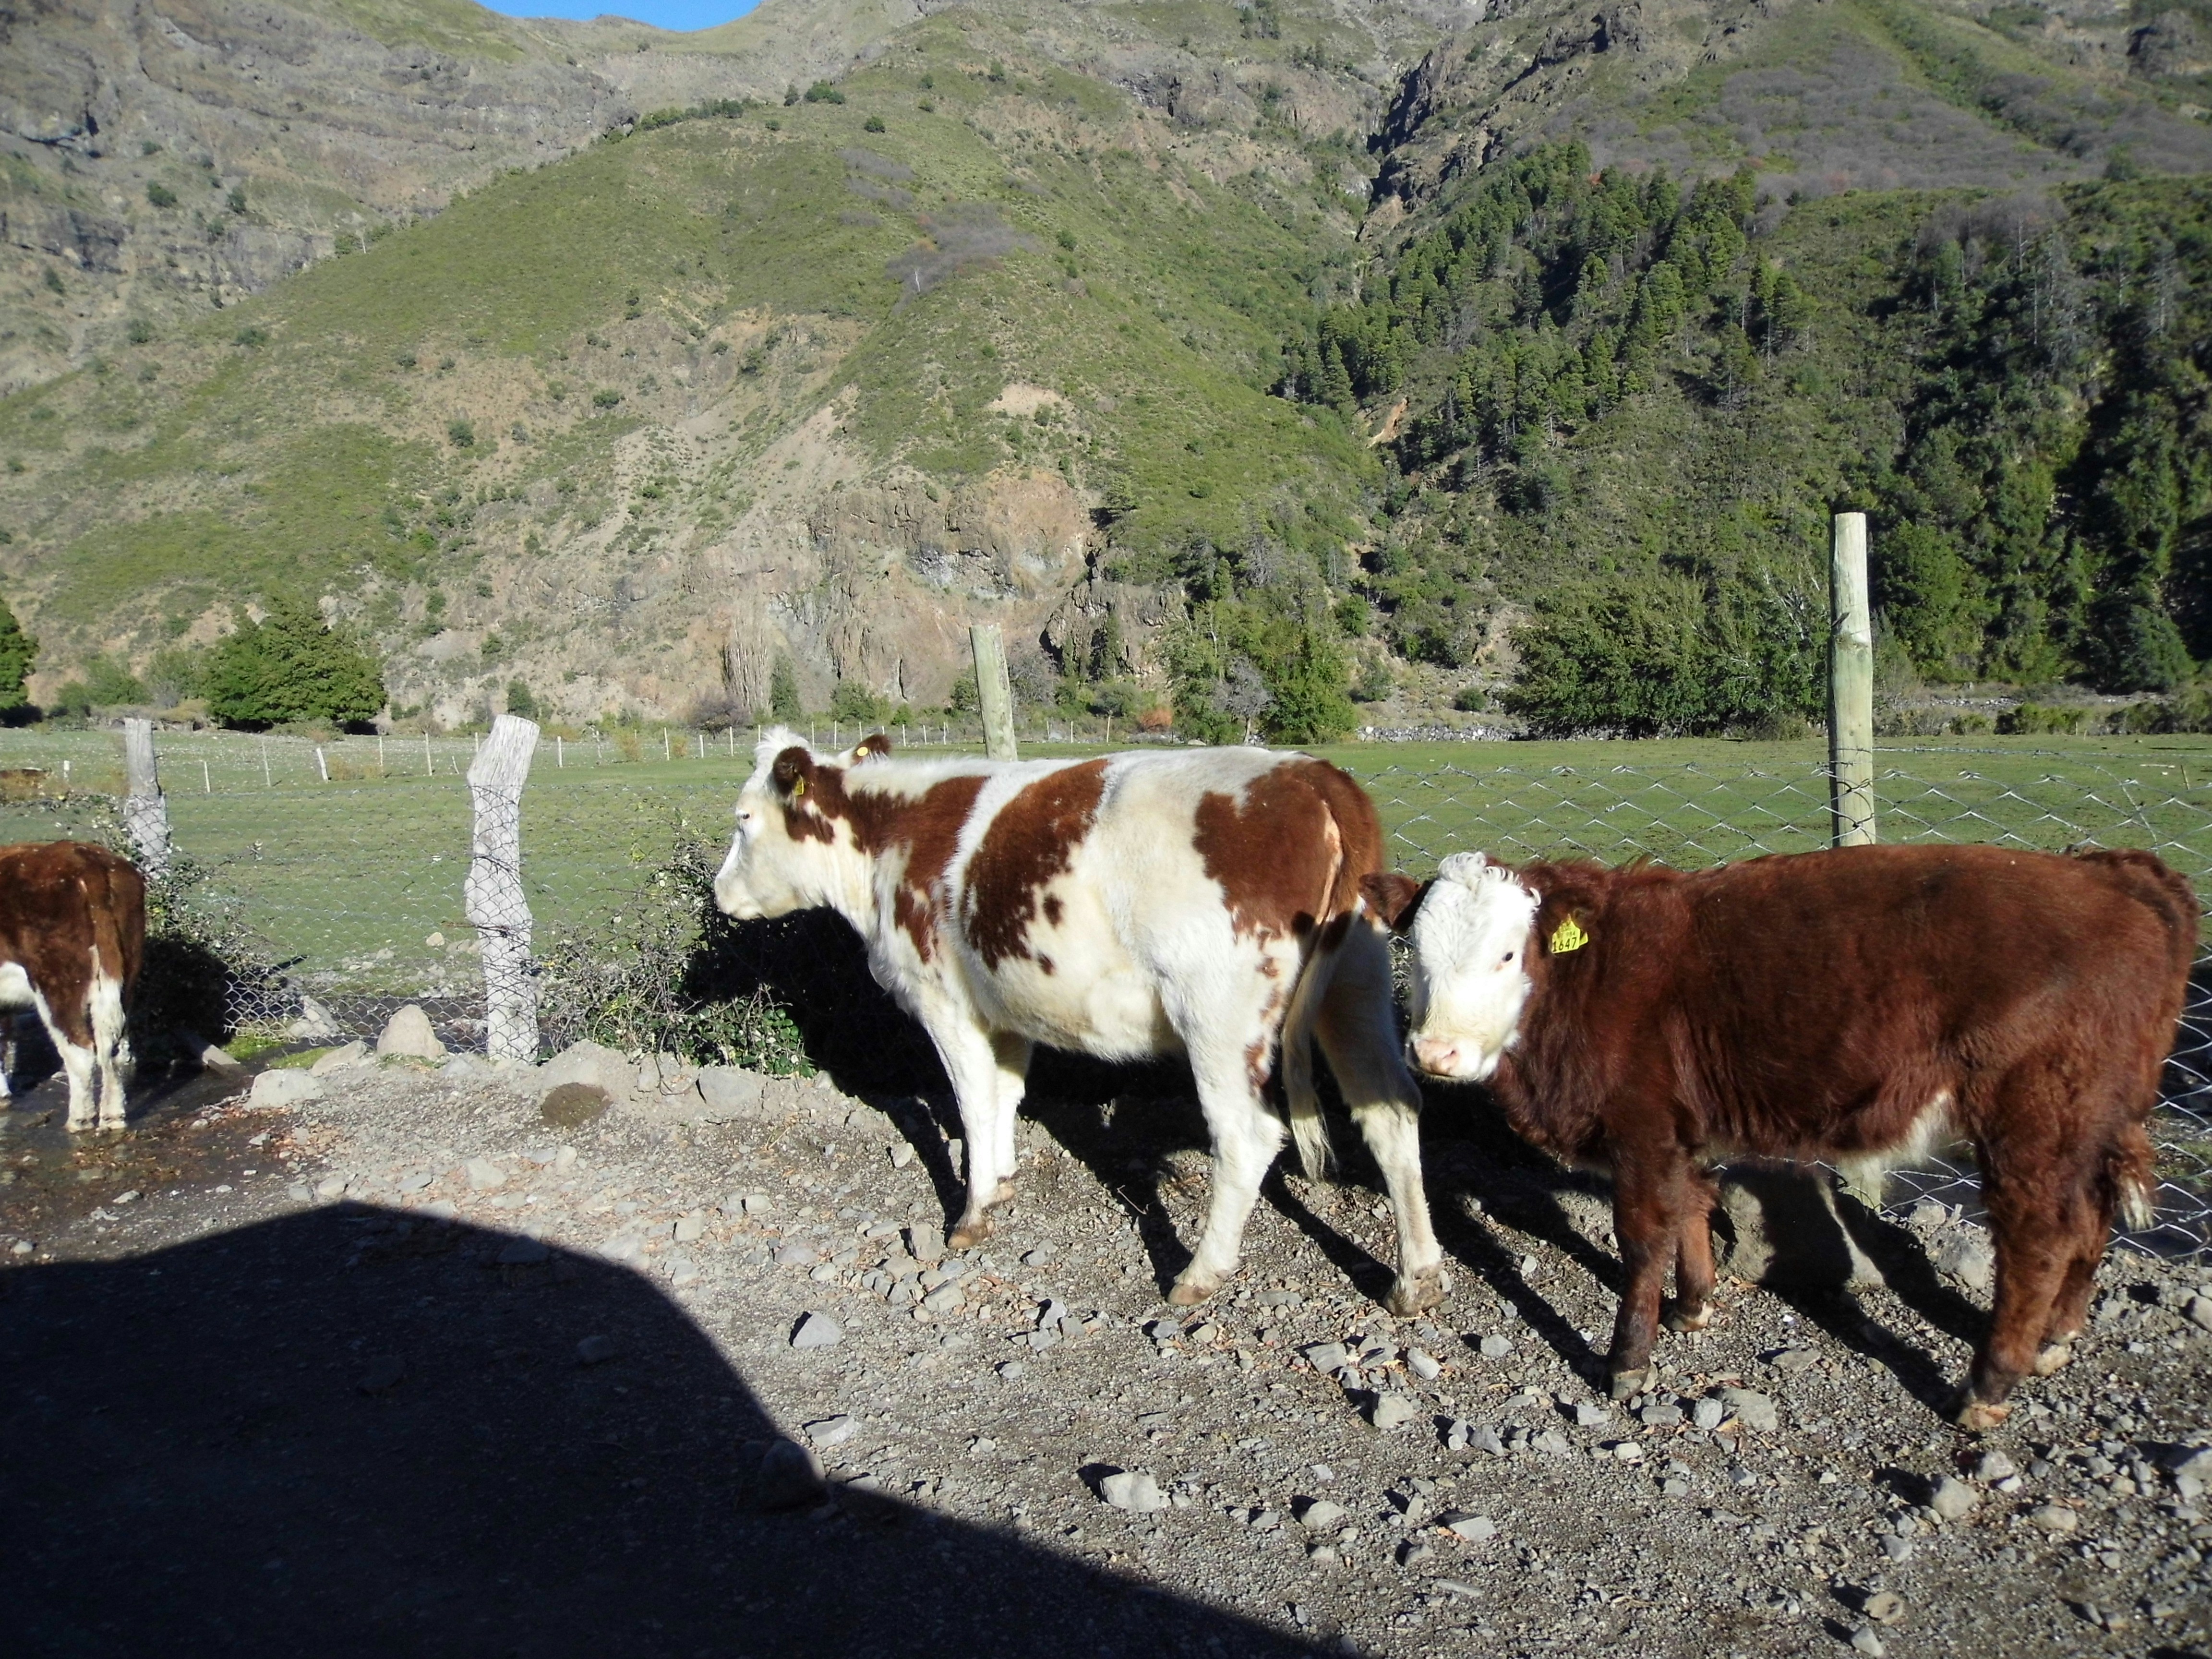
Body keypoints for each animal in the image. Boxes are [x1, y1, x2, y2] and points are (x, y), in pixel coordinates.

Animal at [0, 841, 146, 1132]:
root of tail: (82, 856)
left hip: (57, 983)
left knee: (81, 1050)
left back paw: (80, 1118)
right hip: (126, 969)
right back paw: (113, 1116)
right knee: (113, 1047)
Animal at [712, 729, 1443, 1314]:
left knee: (1248, 1137)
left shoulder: (944, 1000)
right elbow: (1005, 1095)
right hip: (1354, 988)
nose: (720, 893)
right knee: (1391, 1112)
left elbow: (972, 1104)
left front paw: (970, 1217)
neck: (889, 837)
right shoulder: (1006, 1005)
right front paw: (1001, 1185)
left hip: (1219, 1012)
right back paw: (1416, 1280)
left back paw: (1200, 1274)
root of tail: (1311, 774)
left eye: (744, 819)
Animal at [1361, 842, 2197, 1429]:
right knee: (2091, 1222)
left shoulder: (1641, 1133)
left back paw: (1989, 1386)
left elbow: (1643, 1239)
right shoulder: (1683, 1132)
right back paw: (2056, 1342)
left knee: (2039, 1241)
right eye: (1416, 954)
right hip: (2090, 1126)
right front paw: (1695, 1306)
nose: (1436, 1054)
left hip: (2031, 1125)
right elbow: (1694, 1209)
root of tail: (2111, 873)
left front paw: (1628, 1359)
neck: (1590, 983)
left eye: (1508, 953)